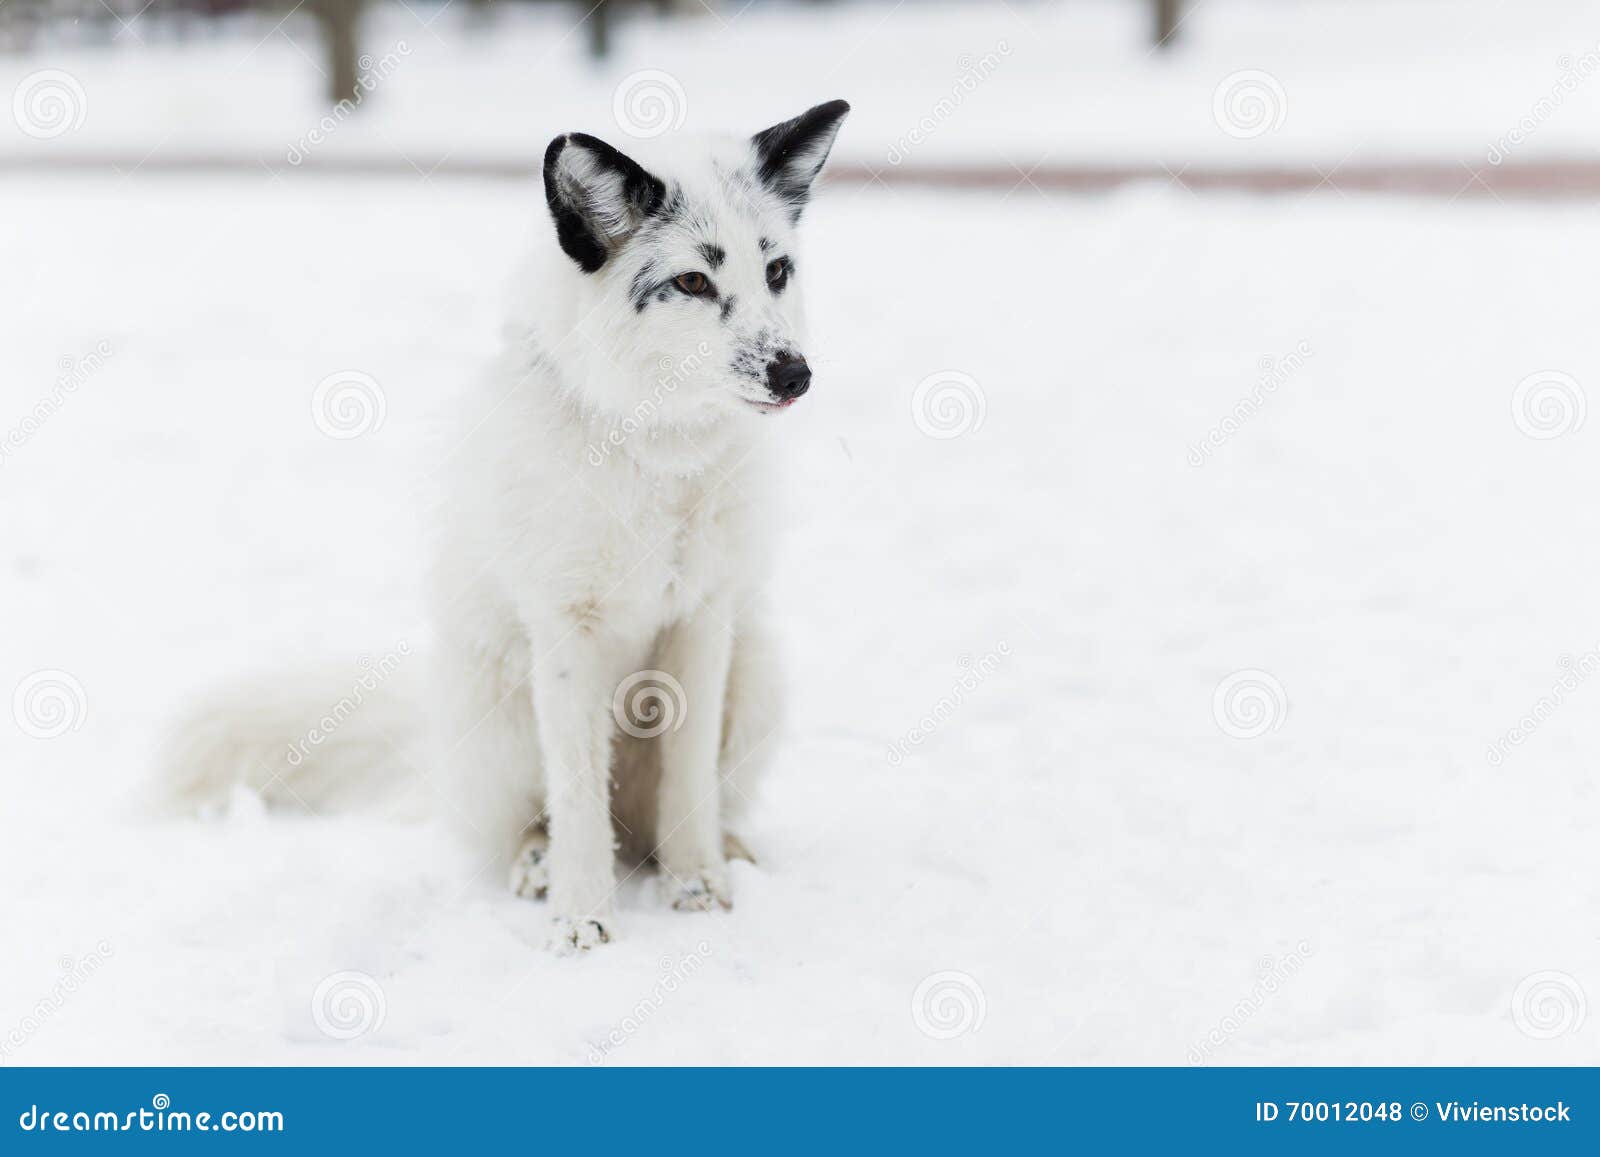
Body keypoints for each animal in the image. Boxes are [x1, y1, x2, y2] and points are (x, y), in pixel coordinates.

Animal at [158, 99, 853, 951]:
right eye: (693, 281)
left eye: (776, 272)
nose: (796, 374)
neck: (655, 454)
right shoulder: (564, 627)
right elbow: (577, 798)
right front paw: (582, 921)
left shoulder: (704, 616)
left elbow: (687, 778)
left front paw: (698, 886)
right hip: (504, 706)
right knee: (537, 819)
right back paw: (539, 867)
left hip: (755, 670)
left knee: (669, 812)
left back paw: (721, 849)